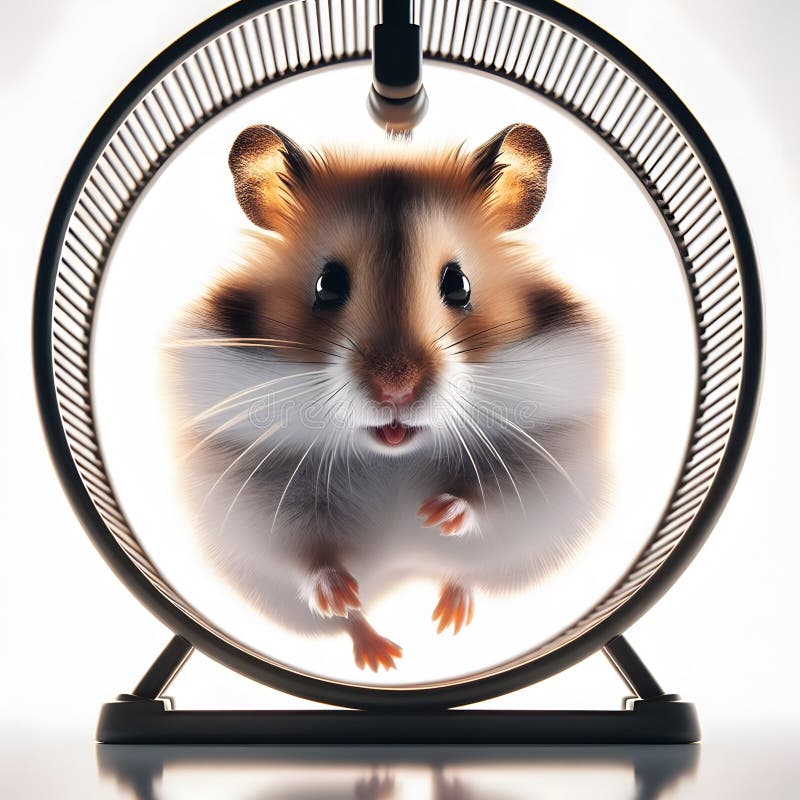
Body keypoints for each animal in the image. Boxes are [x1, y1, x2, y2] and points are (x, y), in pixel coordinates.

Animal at [164, 122, 613, 672]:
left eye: (458, 283)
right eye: (327, 283)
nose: (395, 388)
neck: (392, 458)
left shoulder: (554, 468)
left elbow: (492, 500)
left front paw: (436, 514)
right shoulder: (250, 507)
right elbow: (303, 554)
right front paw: (340, 594)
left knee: (468, 574)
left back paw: (449, 617)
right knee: (352, 618)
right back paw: (382, 656)